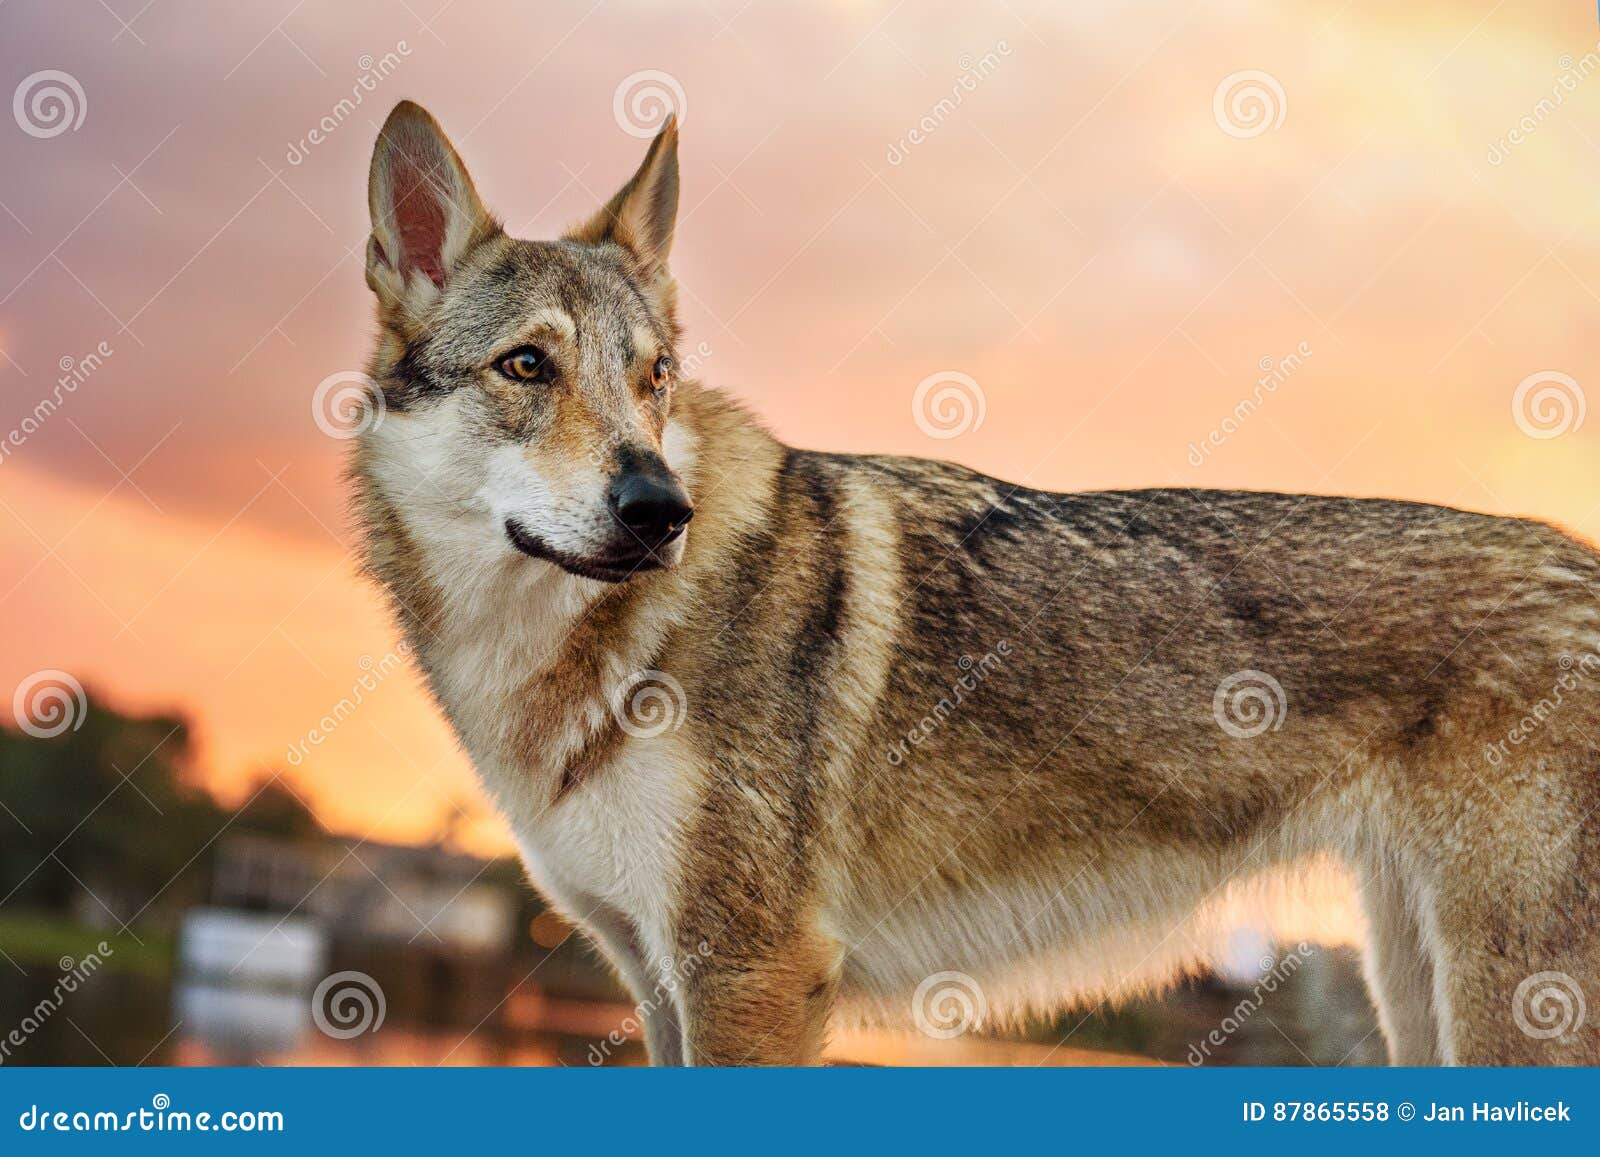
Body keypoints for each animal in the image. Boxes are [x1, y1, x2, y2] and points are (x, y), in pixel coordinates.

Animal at [352, 100, 1598, 1065]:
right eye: (527, 364)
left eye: (653, 375)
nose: (661, 510)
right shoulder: (661, 980)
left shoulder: (751, 975)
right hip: (1416, 992)